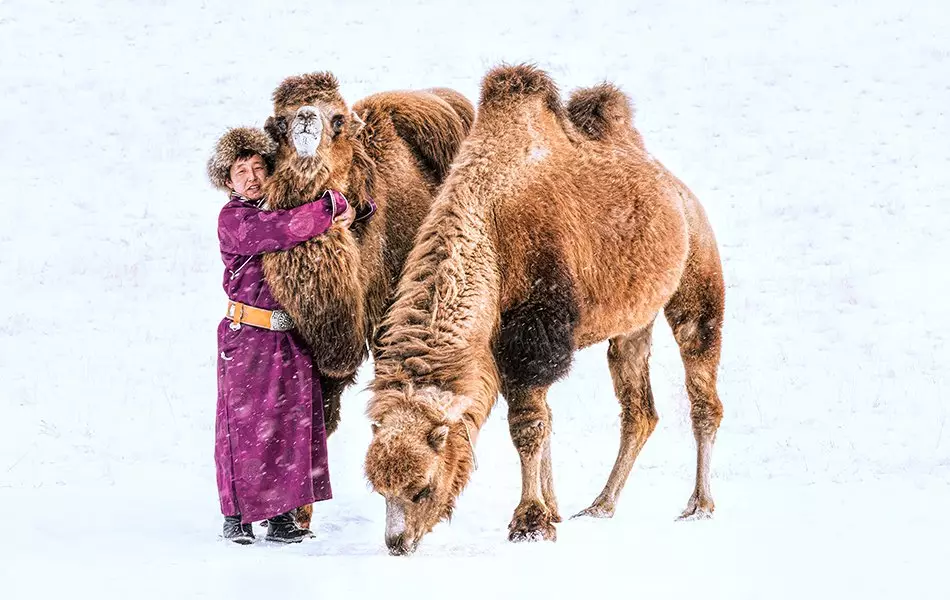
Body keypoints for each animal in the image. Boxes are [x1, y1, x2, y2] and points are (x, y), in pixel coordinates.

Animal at [360, 62, 724, 552]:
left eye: (422, 488)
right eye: (379, 488)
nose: (397, 543)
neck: (489, 233)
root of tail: (674, 187)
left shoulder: (532, 334)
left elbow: (527, 425)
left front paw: (530, 522)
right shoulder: (508, 346)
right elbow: (545, 421)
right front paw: (551, 511)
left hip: (698, 275)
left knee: (702, 386)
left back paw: (699, 505)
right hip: (631, 324)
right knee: (639, 409)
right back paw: (600, 505)